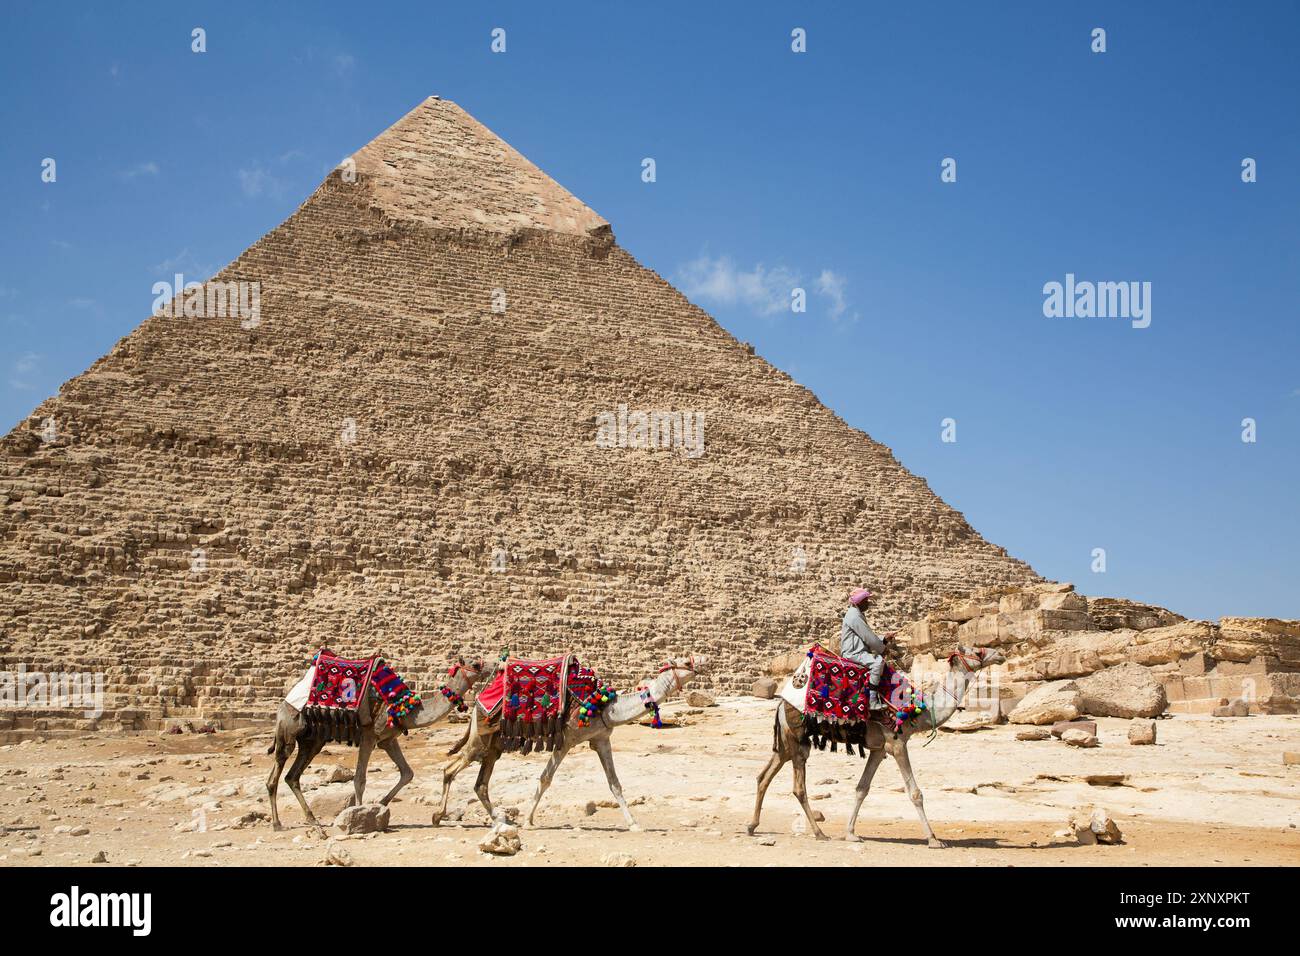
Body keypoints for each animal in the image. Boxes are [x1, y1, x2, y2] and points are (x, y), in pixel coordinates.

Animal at [266, 656, 487, 832]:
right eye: (476, 663)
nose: (493, 665)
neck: (404, 707)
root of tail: (284, 704)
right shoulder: (369, 736)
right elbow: (360, 779)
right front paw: (358, 817)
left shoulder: (388, 739)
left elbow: (407, 773)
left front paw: (380, 804)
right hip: (288, 732)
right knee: (275, 776)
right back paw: (278, 824)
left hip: (312, 740)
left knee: (292, 777)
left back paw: (312, 821)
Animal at [432, 655, 707, 830]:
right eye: (685, 662)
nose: (704, 661)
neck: (605, 707)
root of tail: (479, 700)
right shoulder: (566, 740)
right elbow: (545, 778)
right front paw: (529, 821)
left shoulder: (601, 739)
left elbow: (615, 784)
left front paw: (634, 824)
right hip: (479, 740)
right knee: (450, 769)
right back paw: (438, 816)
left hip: (493, 745)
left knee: (480, 784)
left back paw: (500, 819)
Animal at [747, 644, 1005, 847]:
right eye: (976, 651)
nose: (1000, 654)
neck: (920, 709)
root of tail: (781, 703)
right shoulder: (897, 743)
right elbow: (915, 793)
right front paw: (933, 839)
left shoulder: (878, 749)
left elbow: (862, 788)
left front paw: (851, 834)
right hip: (799, 739)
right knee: (798, 787)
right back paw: (819, 833)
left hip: (785, 743)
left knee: (764, 776)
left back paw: (752, 825)